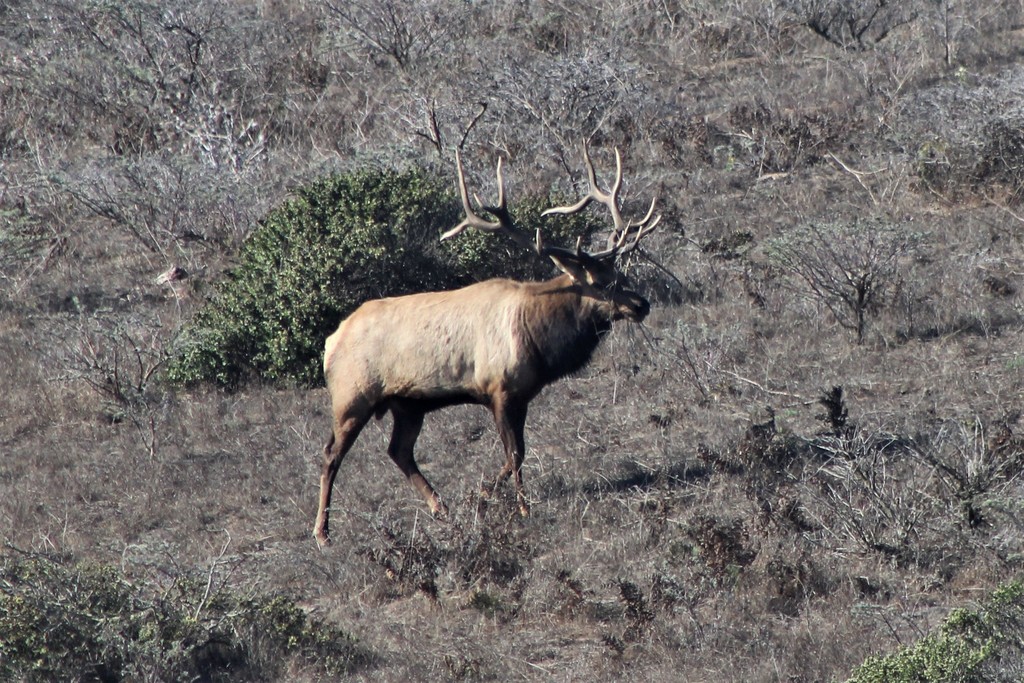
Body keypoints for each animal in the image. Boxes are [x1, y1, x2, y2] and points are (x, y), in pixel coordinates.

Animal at [313, 143, 660, 547]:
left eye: (620, 273)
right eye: (602, 283)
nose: (641, 304)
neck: (539, 341)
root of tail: (330, 342)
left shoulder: (521, 396)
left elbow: (518, 453)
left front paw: (491, 498)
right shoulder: (499, 389)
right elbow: (515, 454)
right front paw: (511, 505)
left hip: (408, 404)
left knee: (399, 451)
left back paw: (441, 508)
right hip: (352, 395)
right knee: (331, 454)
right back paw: (323, 533)